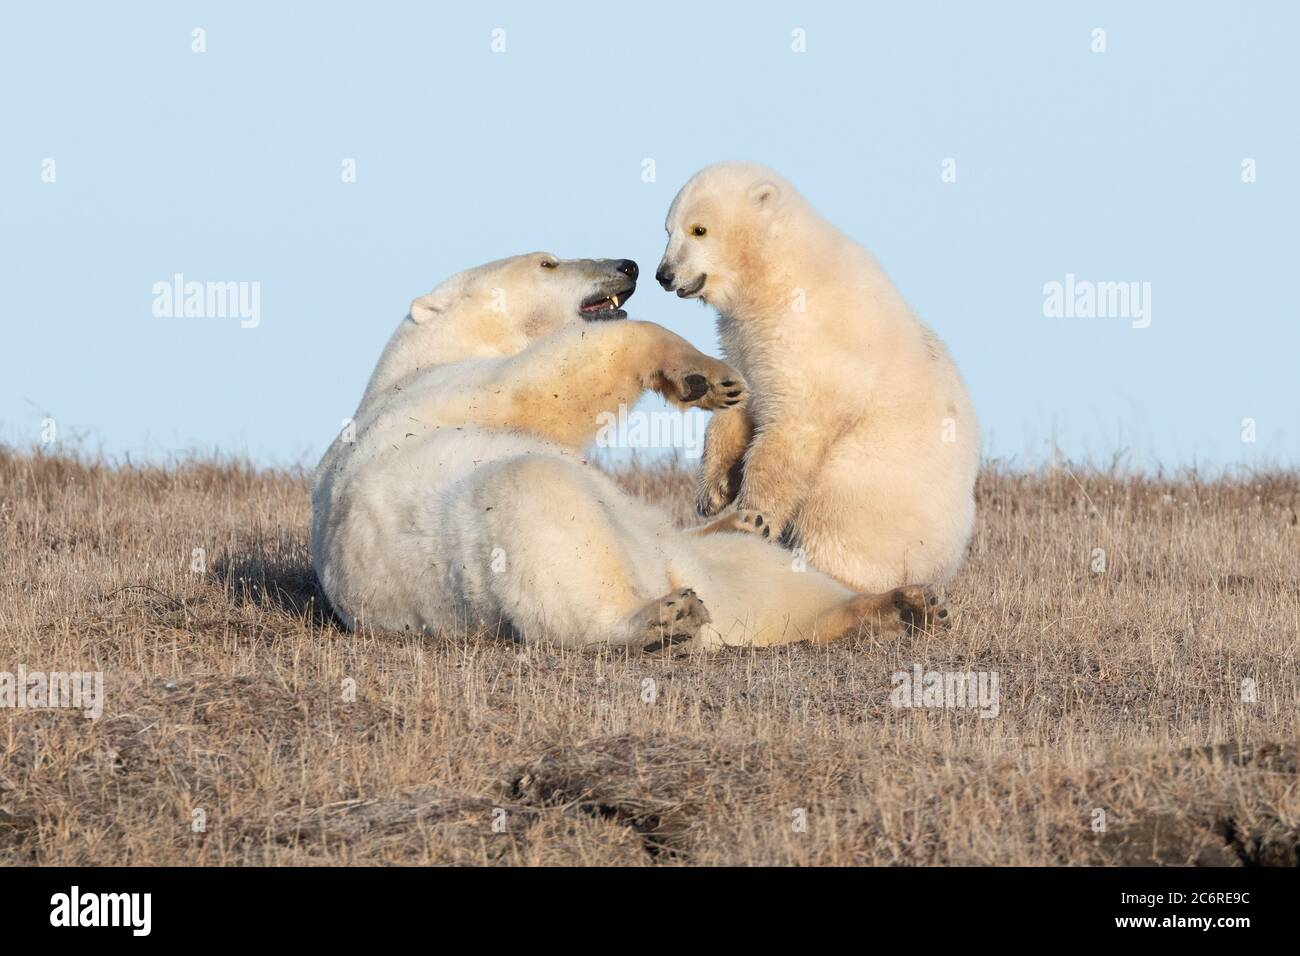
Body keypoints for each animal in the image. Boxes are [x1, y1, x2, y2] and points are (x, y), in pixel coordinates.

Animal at [309, 251, 948, 649]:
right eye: (547, 260)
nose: (628, 265)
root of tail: (658, 572)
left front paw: (738, 507)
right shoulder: (443, 387)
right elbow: (547, 384)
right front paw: (707, 377)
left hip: (692, 559)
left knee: (768, 582)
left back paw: (899, 606)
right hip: (486, 548)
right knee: (542, 510)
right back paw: (659, 619)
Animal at [655, 162, 980, 593]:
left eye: (699, 229)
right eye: (668, 228)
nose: (664, 274)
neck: (777, 270)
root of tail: (943, 563)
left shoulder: (807, 339)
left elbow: (792, 429)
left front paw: (754, 515)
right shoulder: (745, 338)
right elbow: (740, 402)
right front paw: (713, 492)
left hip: (867, 487)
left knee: (835, 523)